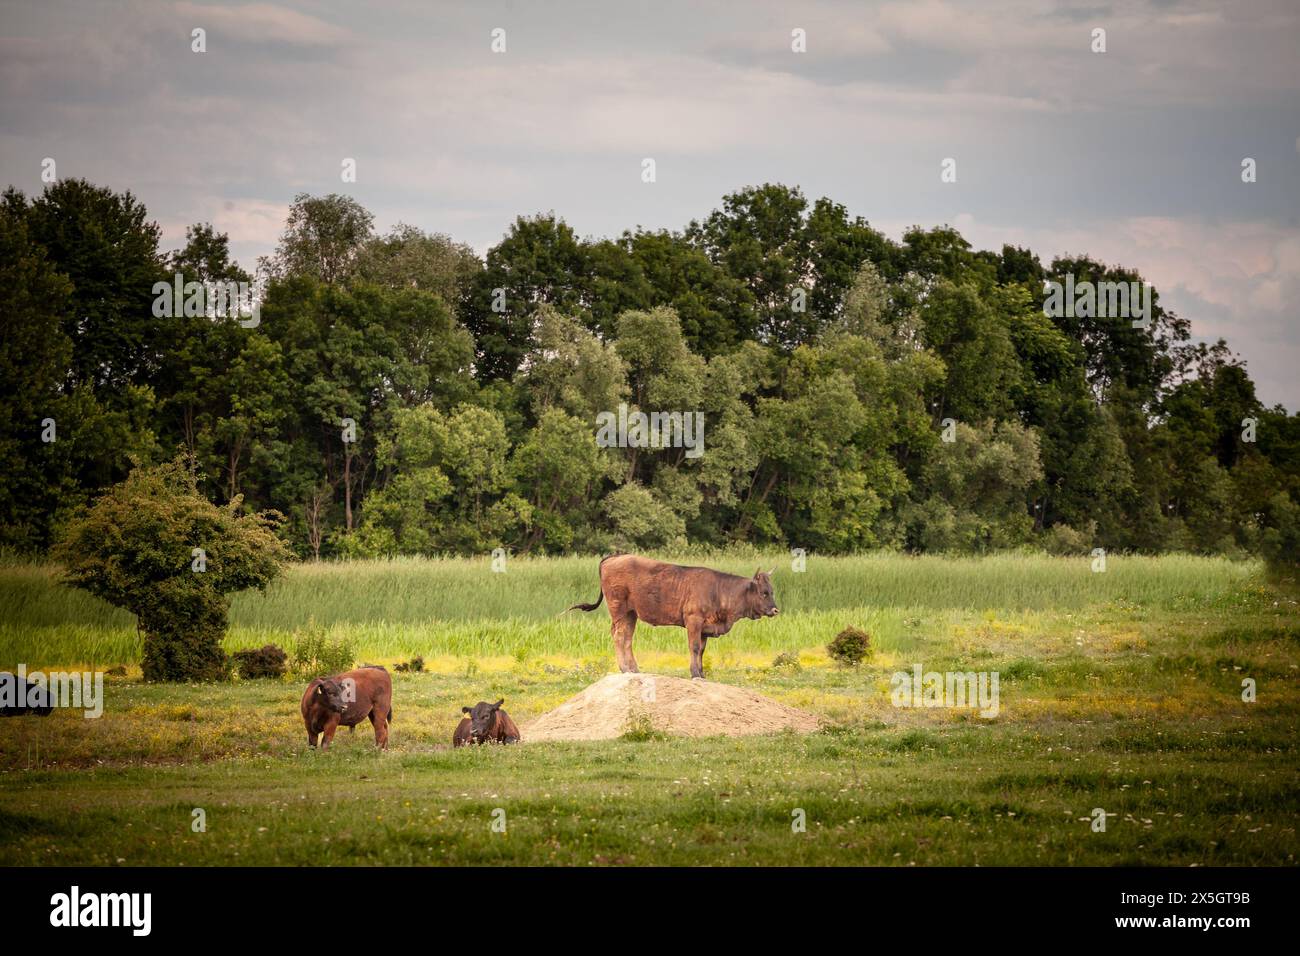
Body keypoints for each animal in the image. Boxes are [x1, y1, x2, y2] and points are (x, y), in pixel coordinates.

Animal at [568, 553, 779, 679]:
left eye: (772, 591)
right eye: (763, 593)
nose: (775, 610)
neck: (717, 590)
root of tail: (613, 557)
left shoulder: (704, 629)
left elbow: (701, 651)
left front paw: (701, 674)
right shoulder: (694, 621)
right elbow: (694, 648)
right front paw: (695, 674)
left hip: (630, 615)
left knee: (627, 638)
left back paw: (634, 670)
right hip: (619, 611)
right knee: (620, 637)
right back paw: (626, 669)